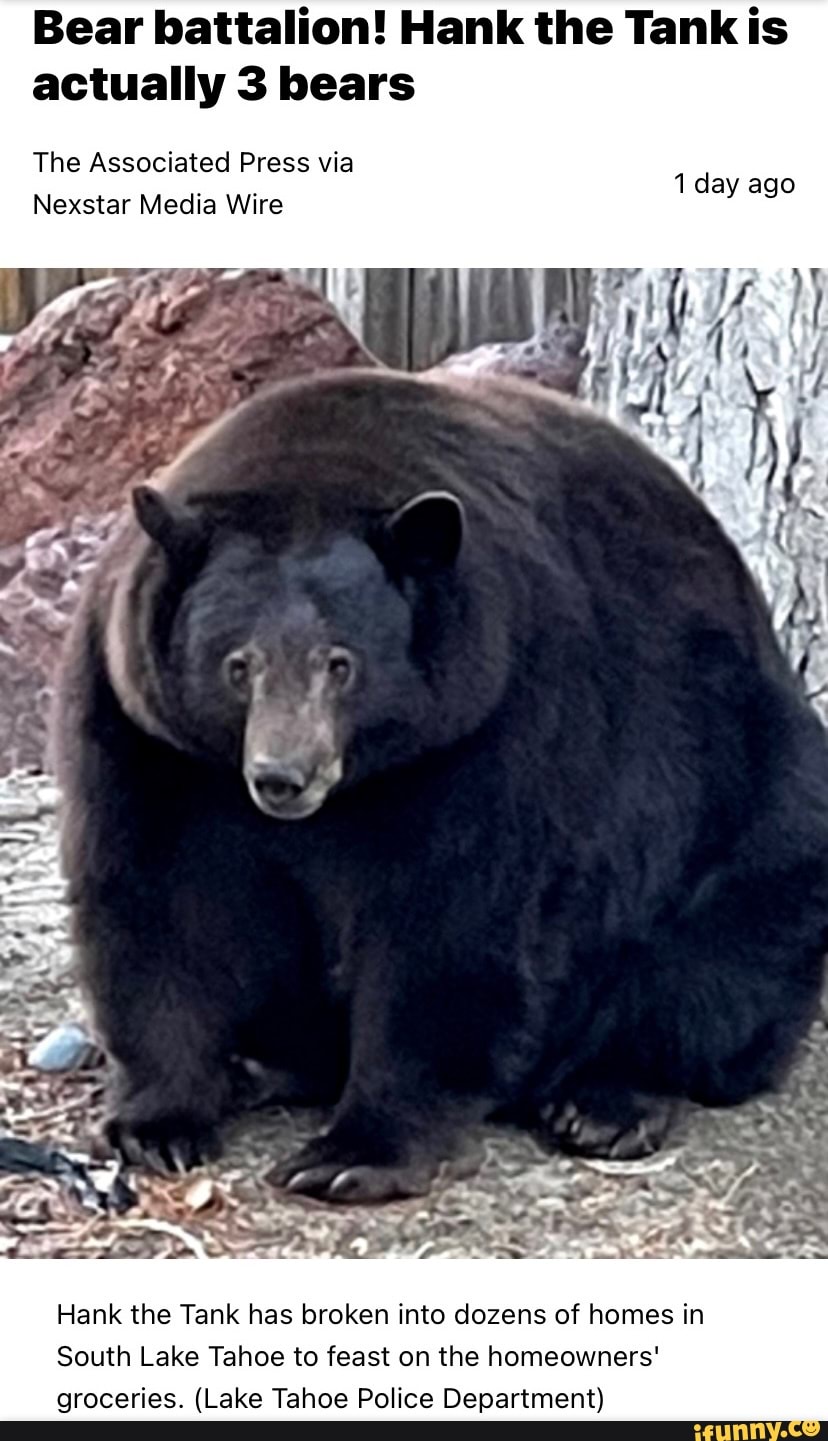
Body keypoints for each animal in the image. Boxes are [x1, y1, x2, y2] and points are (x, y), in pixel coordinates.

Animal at [53, 368, 828, 1203]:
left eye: (341, 662)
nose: (282, 776)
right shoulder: (147, 731)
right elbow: (161, 896)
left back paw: (605, 1101)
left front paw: (352, 1152)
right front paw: (159, 1122)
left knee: (719, 956)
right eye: (239, 664)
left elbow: (452, 919)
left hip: (747, 796)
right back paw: (262, 1065)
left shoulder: (496, 716)